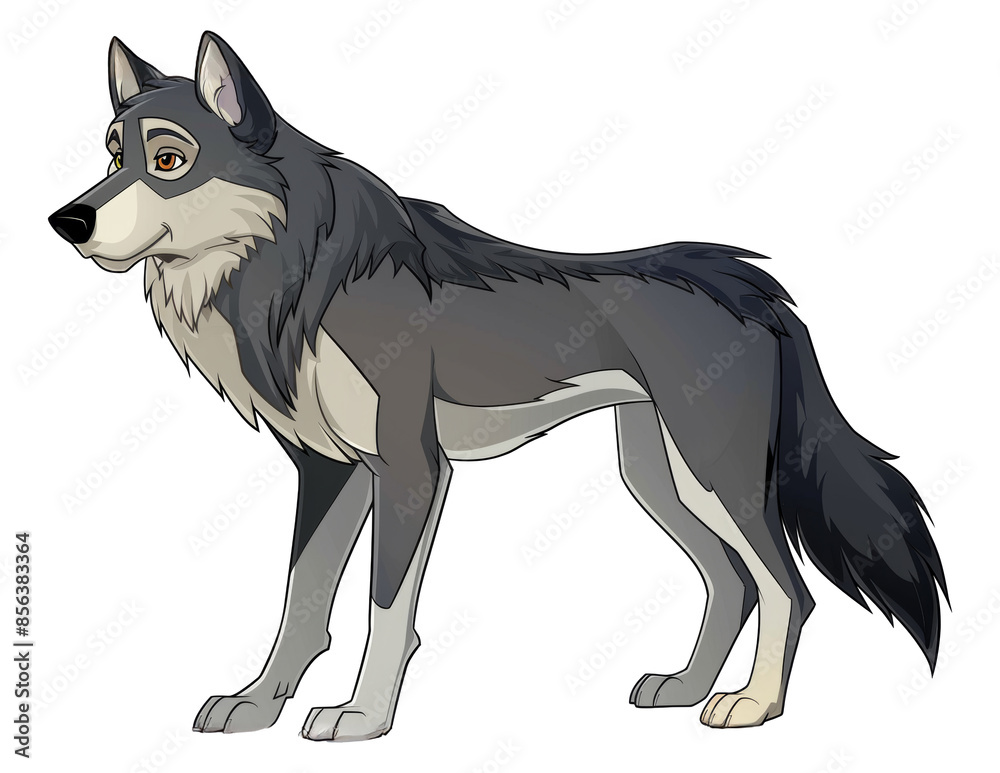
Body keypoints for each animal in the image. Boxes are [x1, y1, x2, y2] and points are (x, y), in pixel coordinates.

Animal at [49, 32, 947, 739]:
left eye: (169, 160)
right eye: (112, 156)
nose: (66, 220)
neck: (302, 277)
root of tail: (751, 283)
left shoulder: (410, 469)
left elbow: (383, 608)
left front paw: (362, 717)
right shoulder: (331, 471)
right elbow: (301, 599)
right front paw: (258, 702)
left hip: (711, 474)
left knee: (785, 587)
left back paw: (752, 704)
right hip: (658, 477)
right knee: (731, 581)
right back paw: (686, 687)